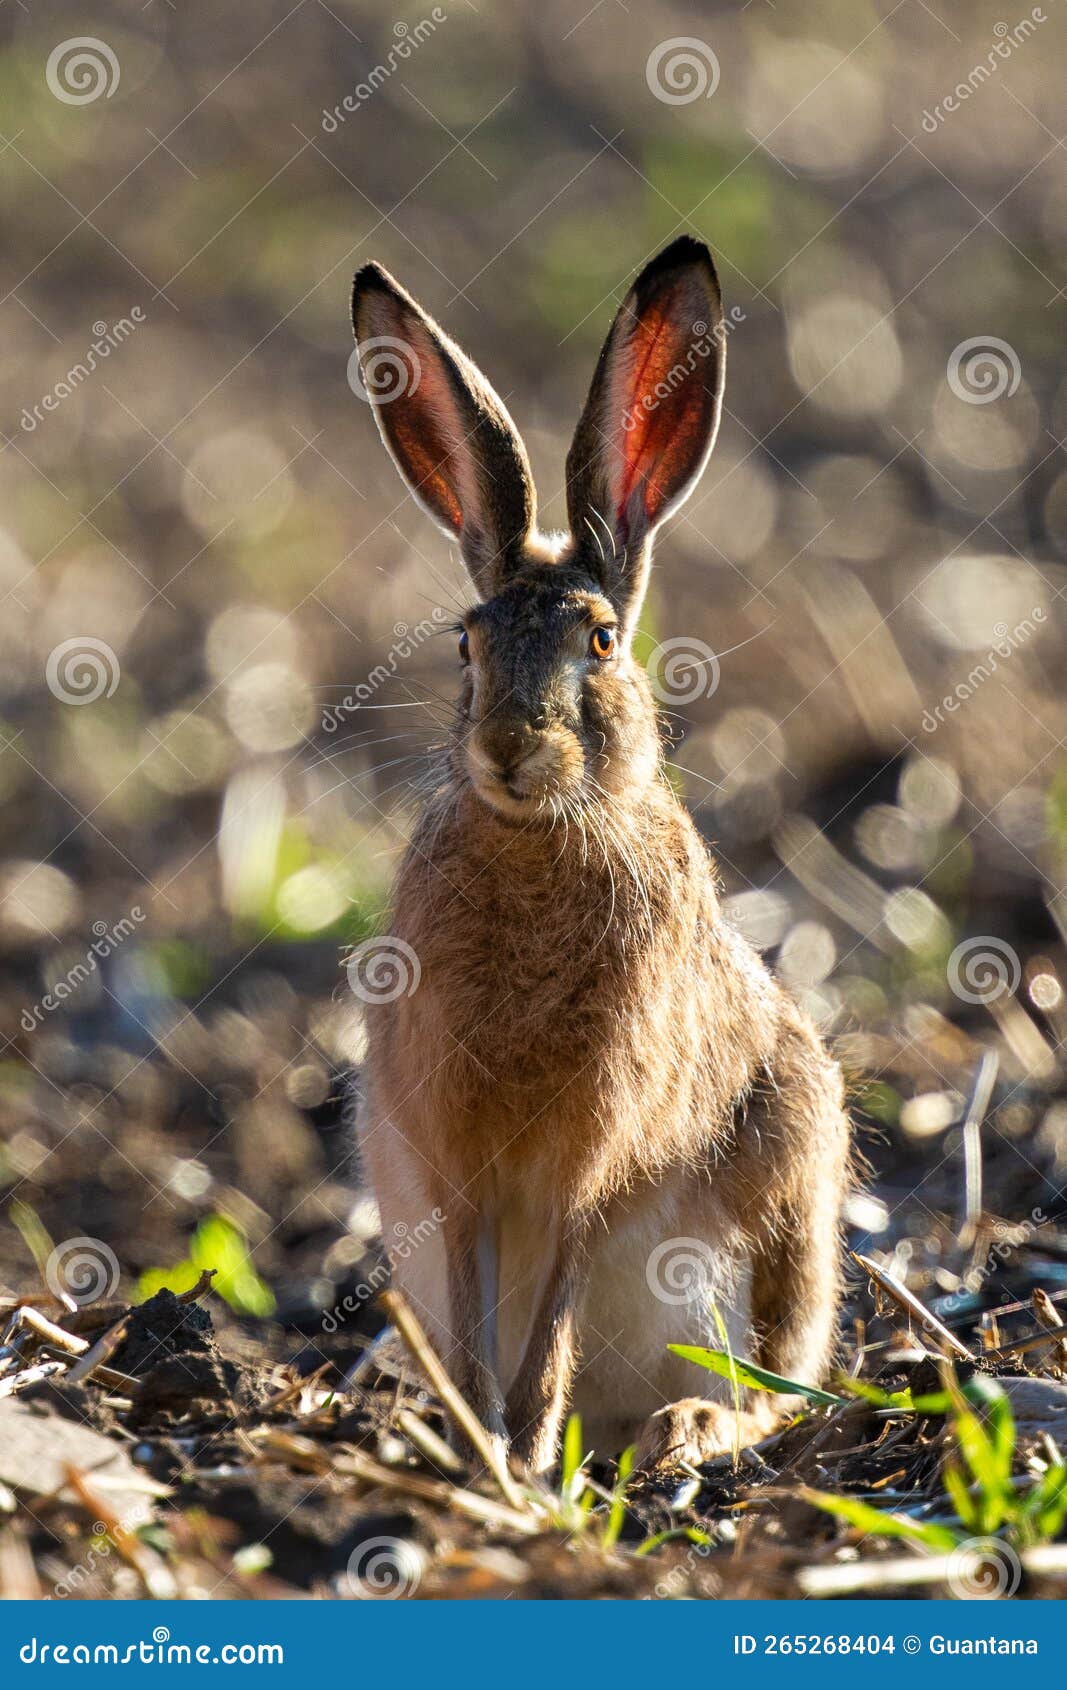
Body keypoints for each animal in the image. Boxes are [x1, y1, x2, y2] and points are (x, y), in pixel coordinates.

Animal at [349, 235, 851, 1475]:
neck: (540, 836)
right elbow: (479, 1286)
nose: (510, 748)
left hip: (788, 1200)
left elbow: (567, 1269)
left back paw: (683, 1427)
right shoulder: (452, 1163)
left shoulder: (599, 1145)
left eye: (602, 640)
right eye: (466, 643)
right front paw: (485, 1436)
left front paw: (523, 1443)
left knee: (778, 1387)